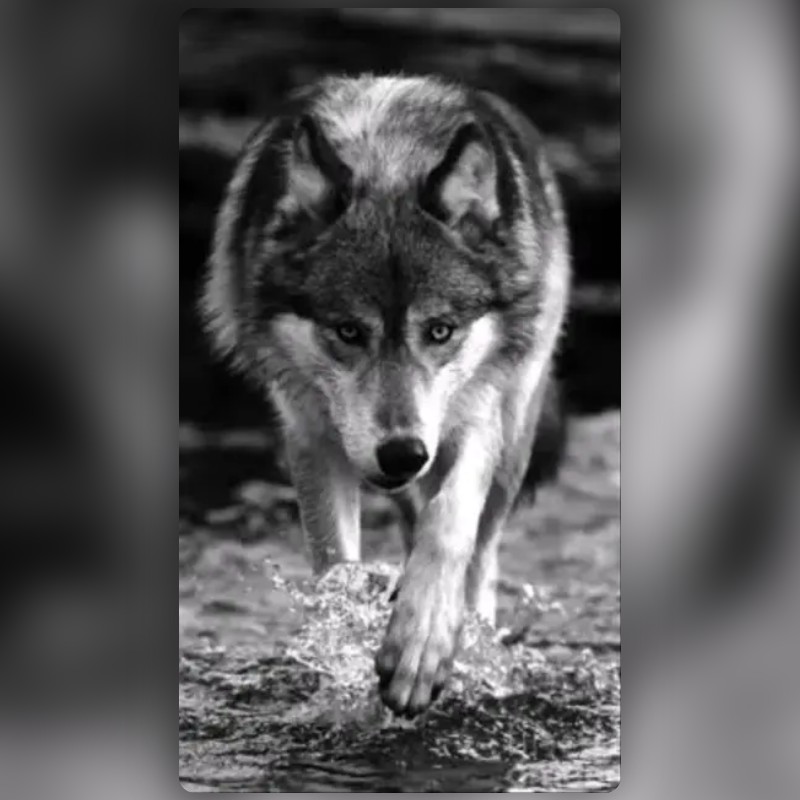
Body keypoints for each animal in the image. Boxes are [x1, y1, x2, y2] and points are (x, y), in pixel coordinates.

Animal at [201, 74, 570, 715]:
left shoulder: (479, 415)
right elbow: (335, 569)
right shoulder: (312, 437)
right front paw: (347, 649)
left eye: (440, 330)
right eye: (349, 331)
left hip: (514, 430)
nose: (402, 454)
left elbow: (449, 525)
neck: (389, 157)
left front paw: (423, 641)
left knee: (479, 551)